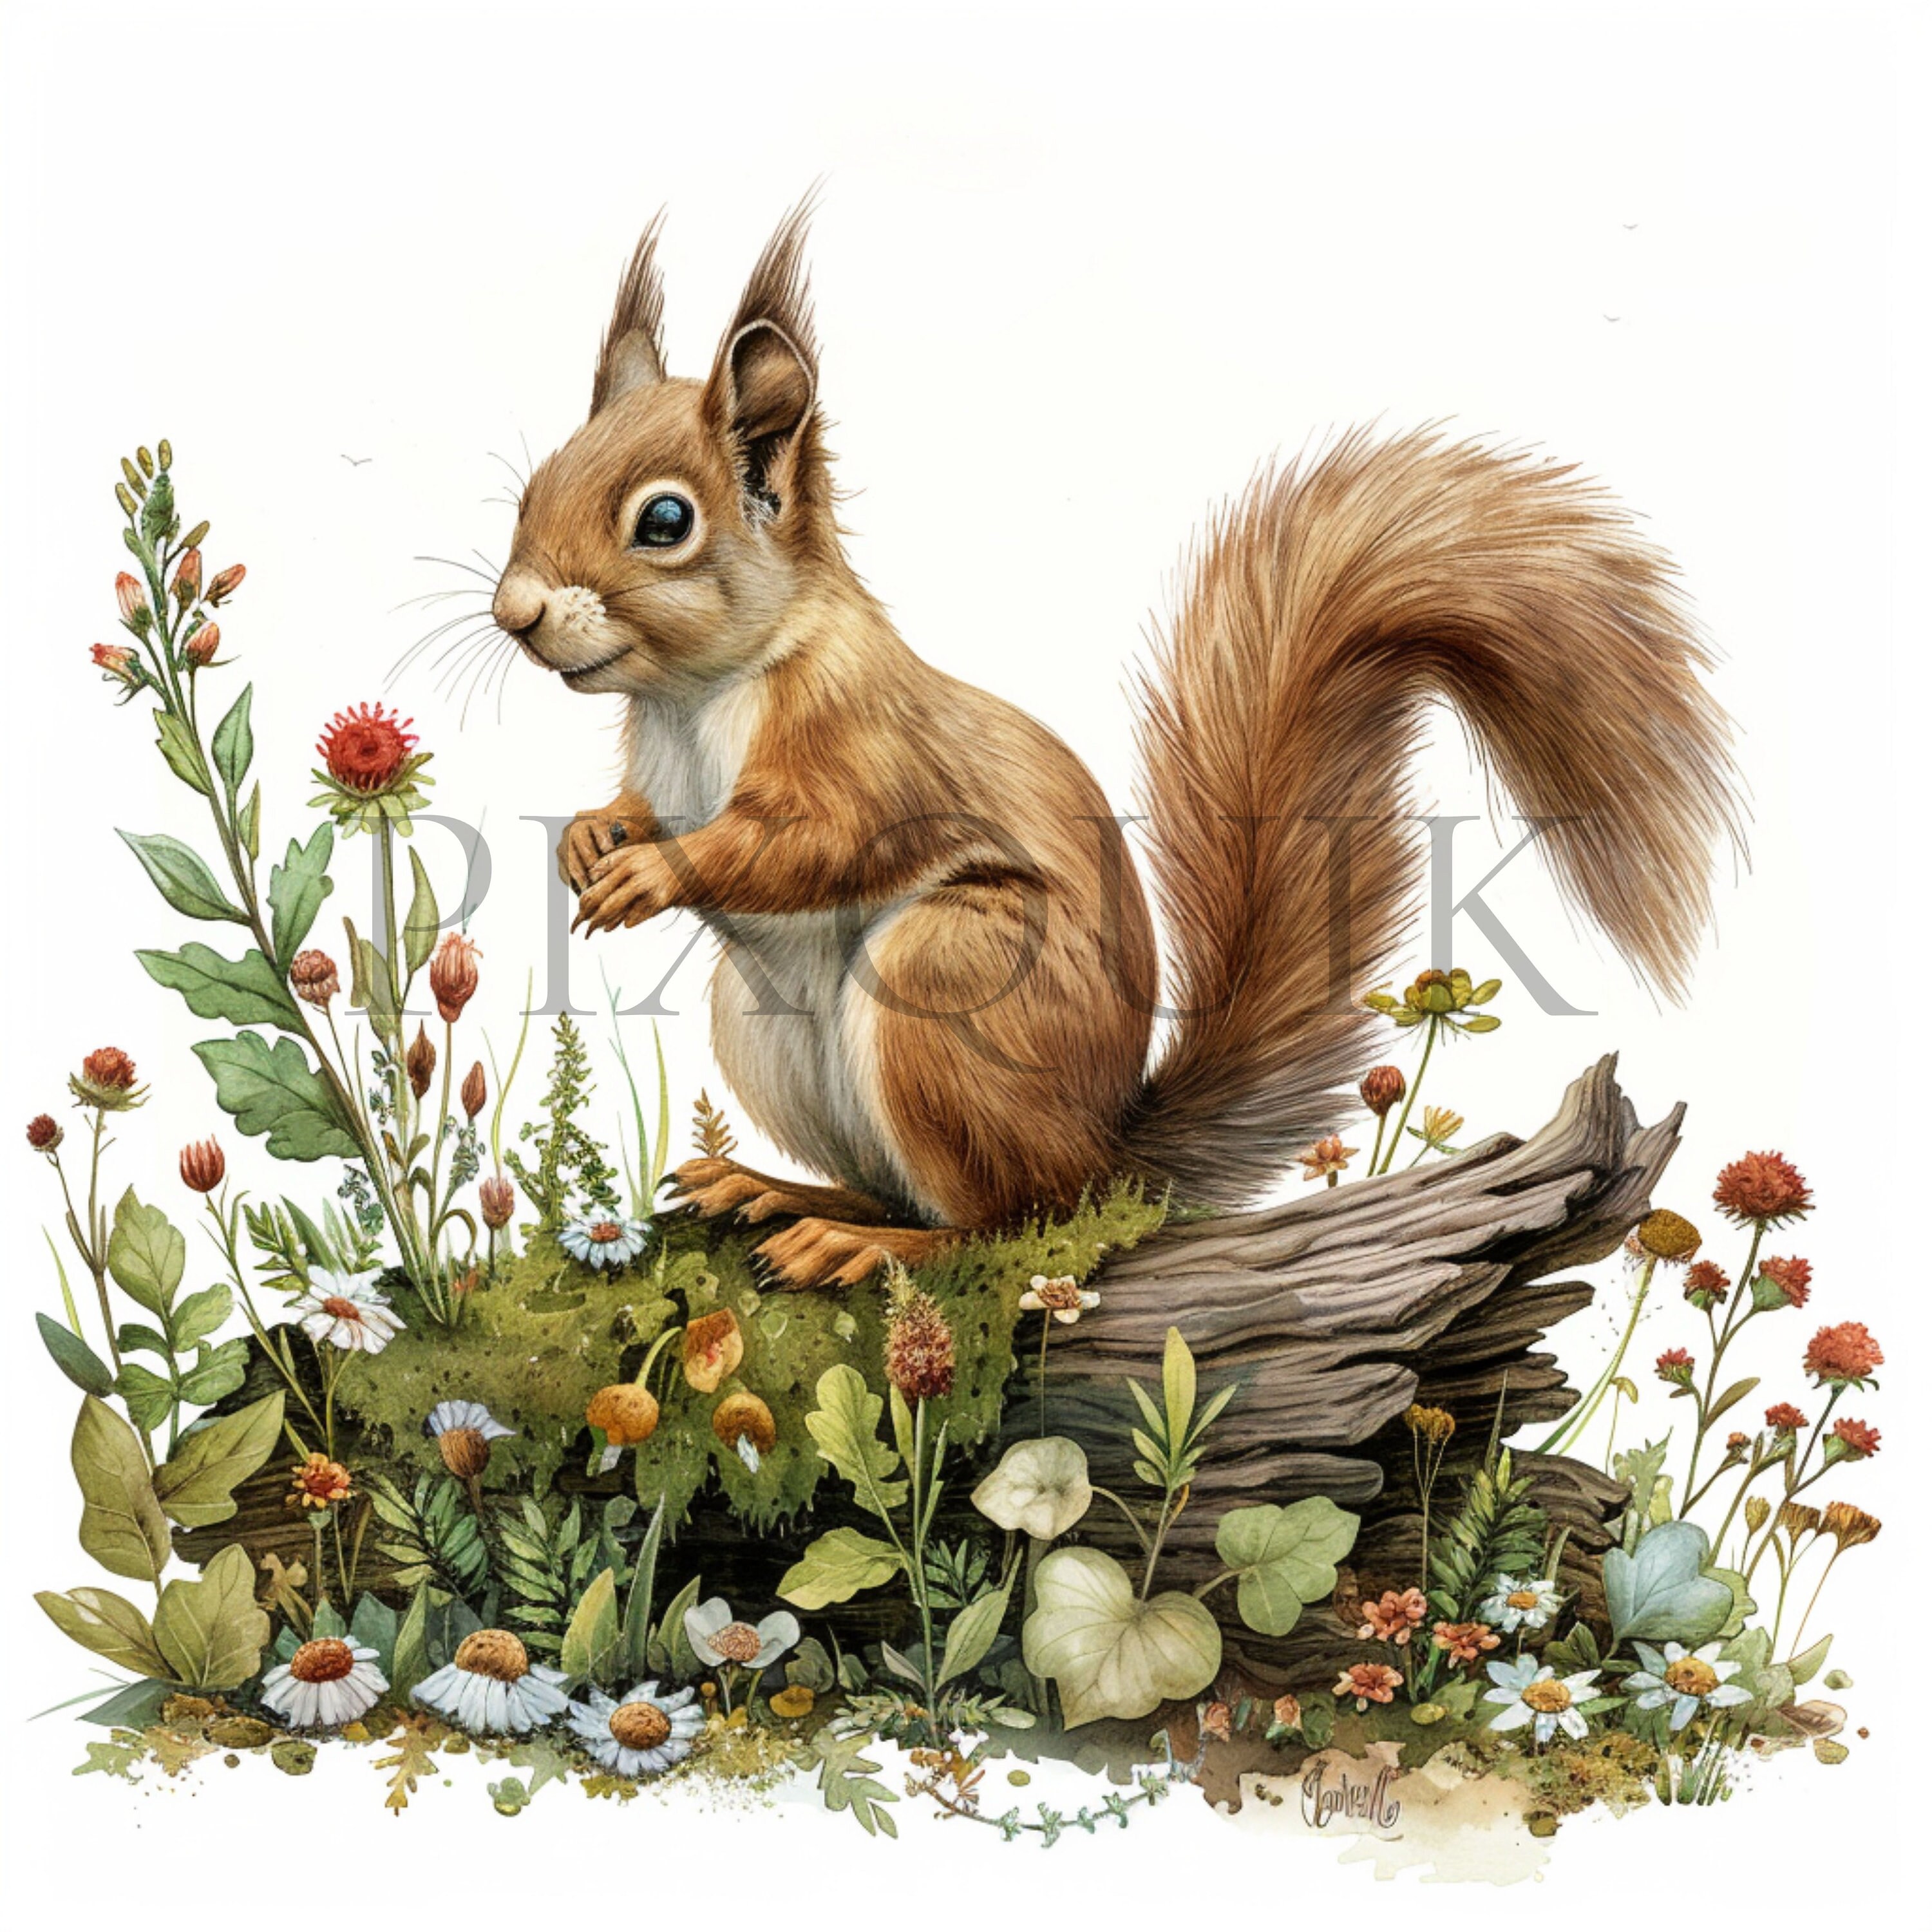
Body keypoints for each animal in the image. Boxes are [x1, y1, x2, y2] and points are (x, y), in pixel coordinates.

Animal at [489, 204, 1739, 1289]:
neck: (697, 695)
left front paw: (654, 873)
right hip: (765, 1031)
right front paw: (595, 839)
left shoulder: (863, 744)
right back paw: (781, 1193)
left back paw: (864, 1244)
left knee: (997, 1221)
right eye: (530, 488)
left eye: (665, 521)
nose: (514, 613)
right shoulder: (661, 762)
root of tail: (1106, 1159)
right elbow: (639, 804)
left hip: (949, 983)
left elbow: (809, 844)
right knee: (912, 1189)